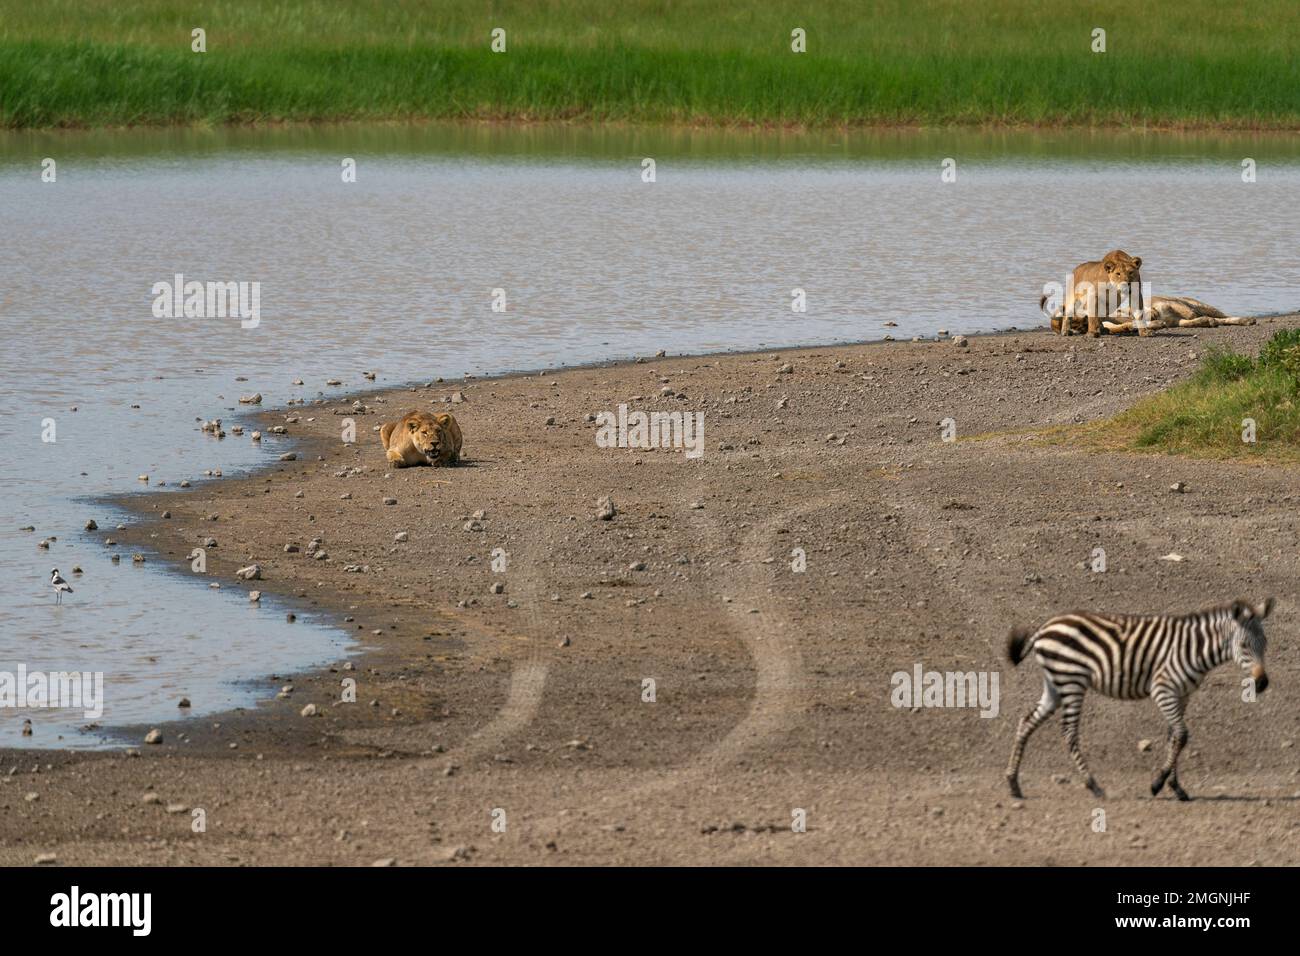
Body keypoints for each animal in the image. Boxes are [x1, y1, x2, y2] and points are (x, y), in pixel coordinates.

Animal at [1005, 598, 1273, 801]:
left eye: (1265, 644)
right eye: (1244, 645)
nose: (1262, 683)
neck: (1194, 649)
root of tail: (1044, 627)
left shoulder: (1182, 695)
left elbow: (1173, 736)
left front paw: (1176, 788)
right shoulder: (1163, 689)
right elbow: (1182, 734)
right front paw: (1157, 784)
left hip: (1055, 684)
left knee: (1026, 722)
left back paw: (1013, 783)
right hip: (1072, 680)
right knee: (1069, 733)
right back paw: (1094, 785)